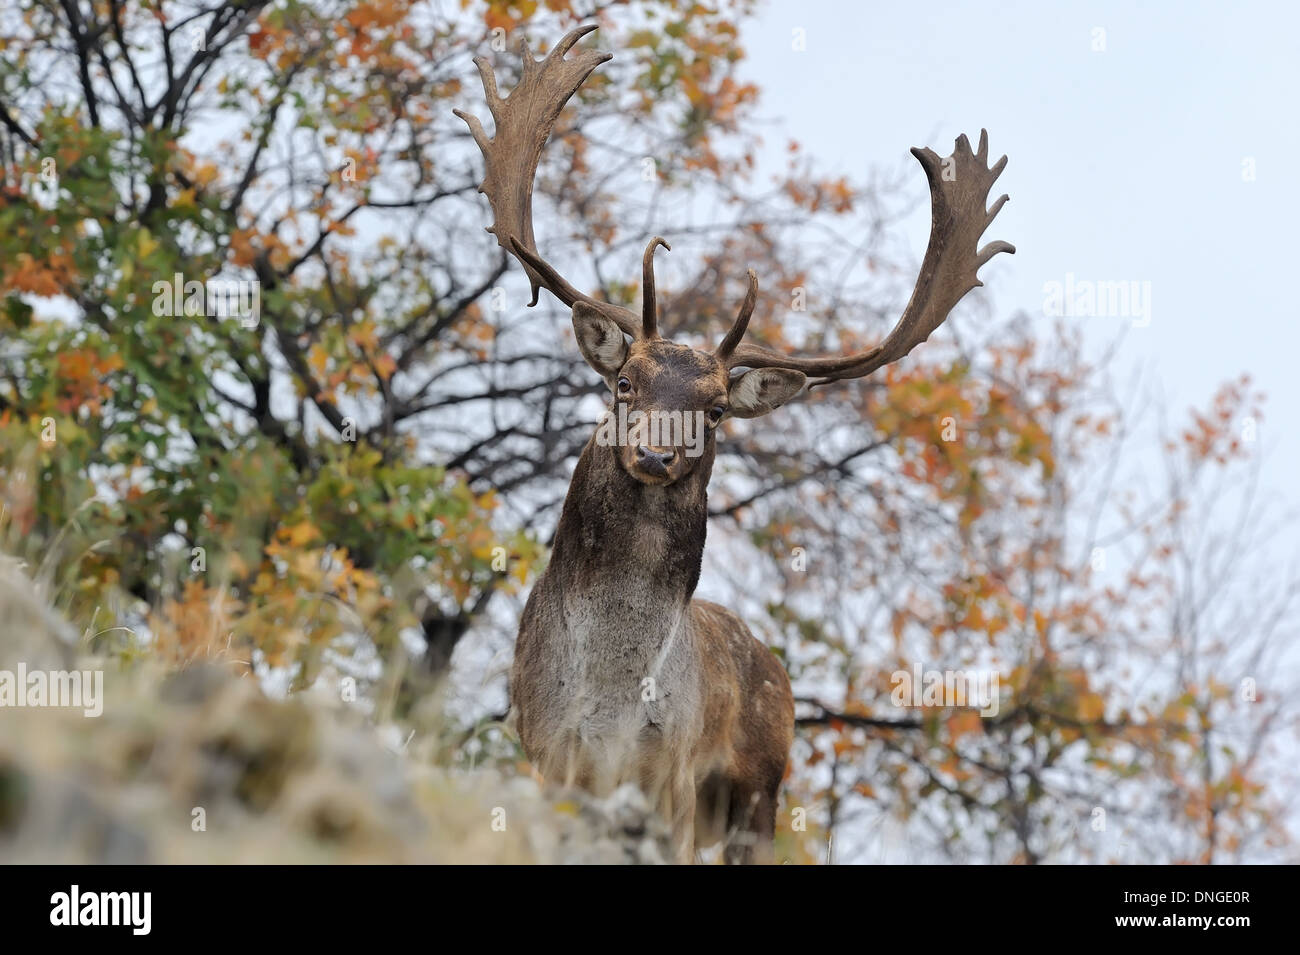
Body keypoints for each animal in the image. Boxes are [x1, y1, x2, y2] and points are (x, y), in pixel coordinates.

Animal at [454, 24, 1013, 864]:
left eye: (715, 410)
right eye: (626, 382)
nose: (656, 455)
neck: (612, 702)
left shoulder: (674, 778)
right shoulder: (547, 752)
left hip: (760, 788)